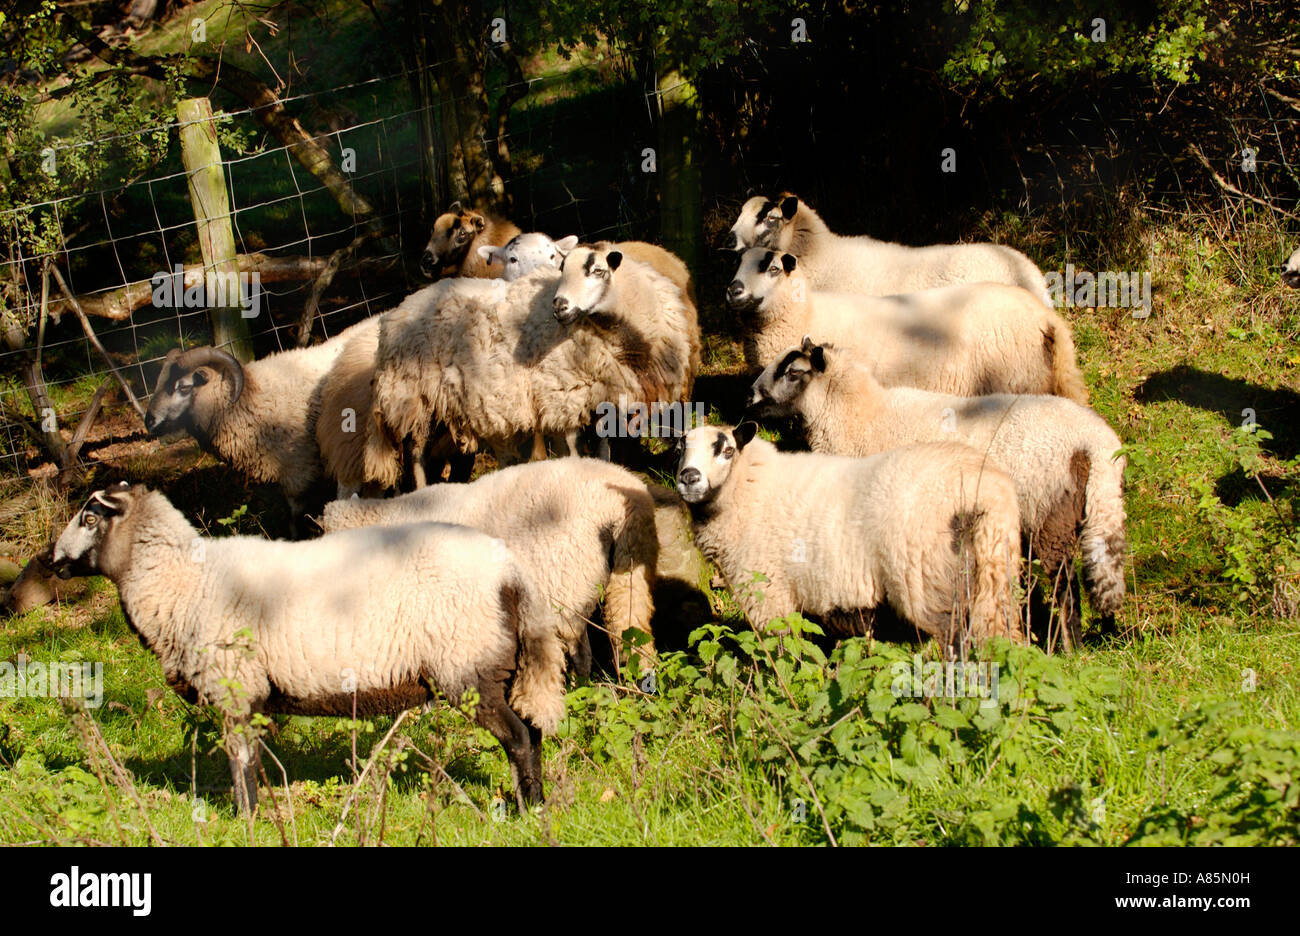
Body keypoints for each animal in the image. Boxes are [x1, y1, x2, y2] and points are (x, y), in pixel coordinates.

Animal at [51, 482, 566, 814]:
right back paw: (535, 805)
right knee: (533, 731)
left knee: (518, 737)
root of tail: (510, 570)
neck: (183, 579)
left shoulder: (235, 684)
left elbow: (240, 758)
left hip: (467, 665)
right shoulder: (251, 692)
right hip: (503, 663)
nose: (51, 561)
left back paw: (528, 812)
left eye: (89, 518)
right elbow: (252, 757)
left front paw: (245, 818)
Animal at [674, 424, 1024, 651]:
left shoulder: (769, 594)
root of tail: (990, 491)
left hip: (928, 583)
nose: (689, 478)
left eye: (727, 450)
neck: (748, 487)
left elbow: (784, 652)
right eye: (679, 449)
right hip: (994, 578)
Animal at [747, 339, 1127, 645]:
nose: (751, 397)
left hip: (1048, 515)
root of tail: (1096, 442)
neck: (859, 416)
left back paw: (1068, 646)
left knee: (1065, 584)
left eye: (793, 373)